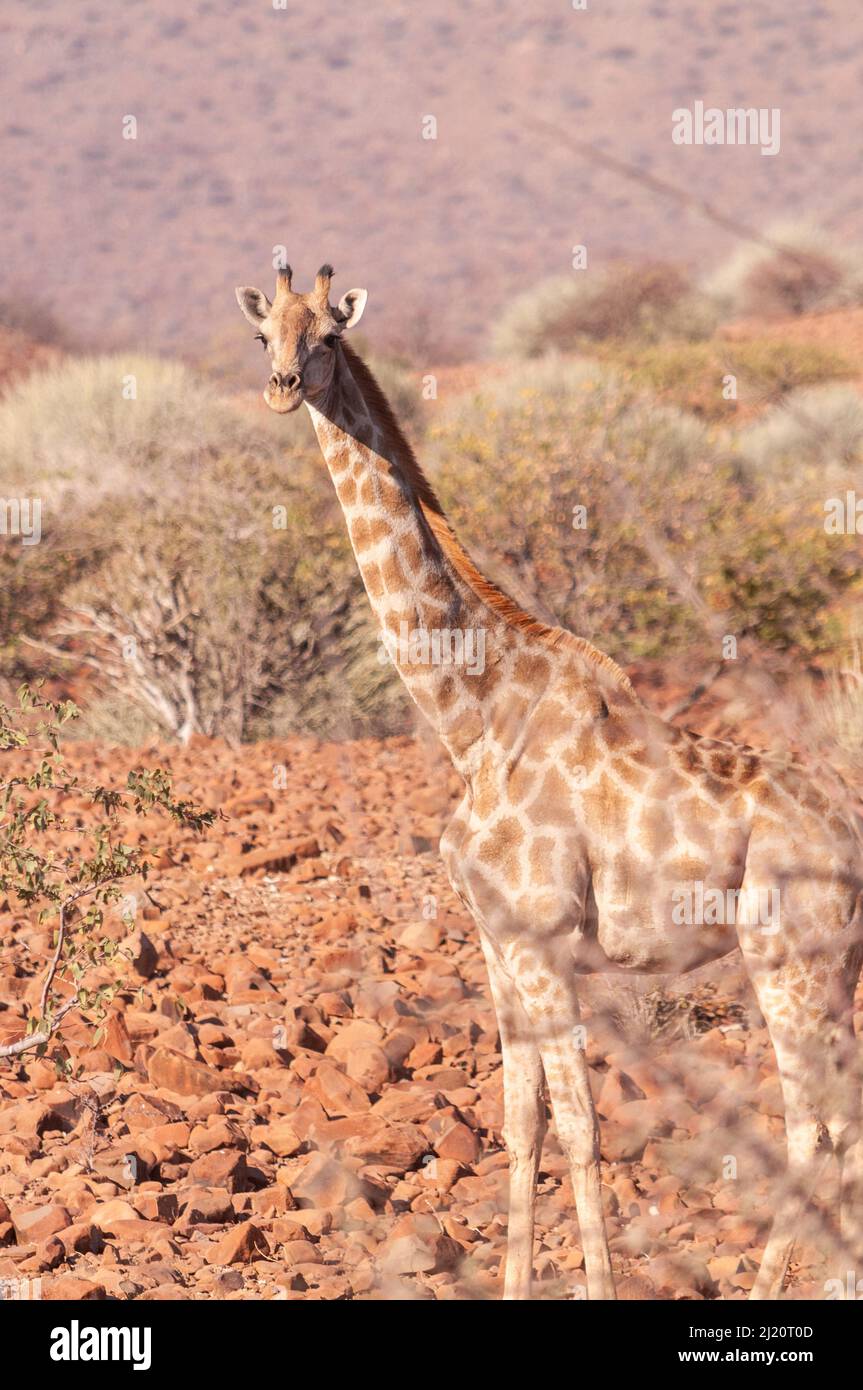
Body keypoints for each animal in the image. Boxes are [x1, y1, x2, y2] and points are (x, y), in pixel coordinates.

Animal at [236, 263, 863, 1300]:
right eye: (264, 335)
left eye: (329, 334)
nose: (284, 386)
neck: (471, 715)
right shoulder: (497, 944)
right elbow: (520, 1122)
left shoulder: (546, 941)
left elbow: (578, 1127)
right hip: (831, 964)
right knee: (837, 1124)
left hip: (788, 957)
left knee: (816, 1128)